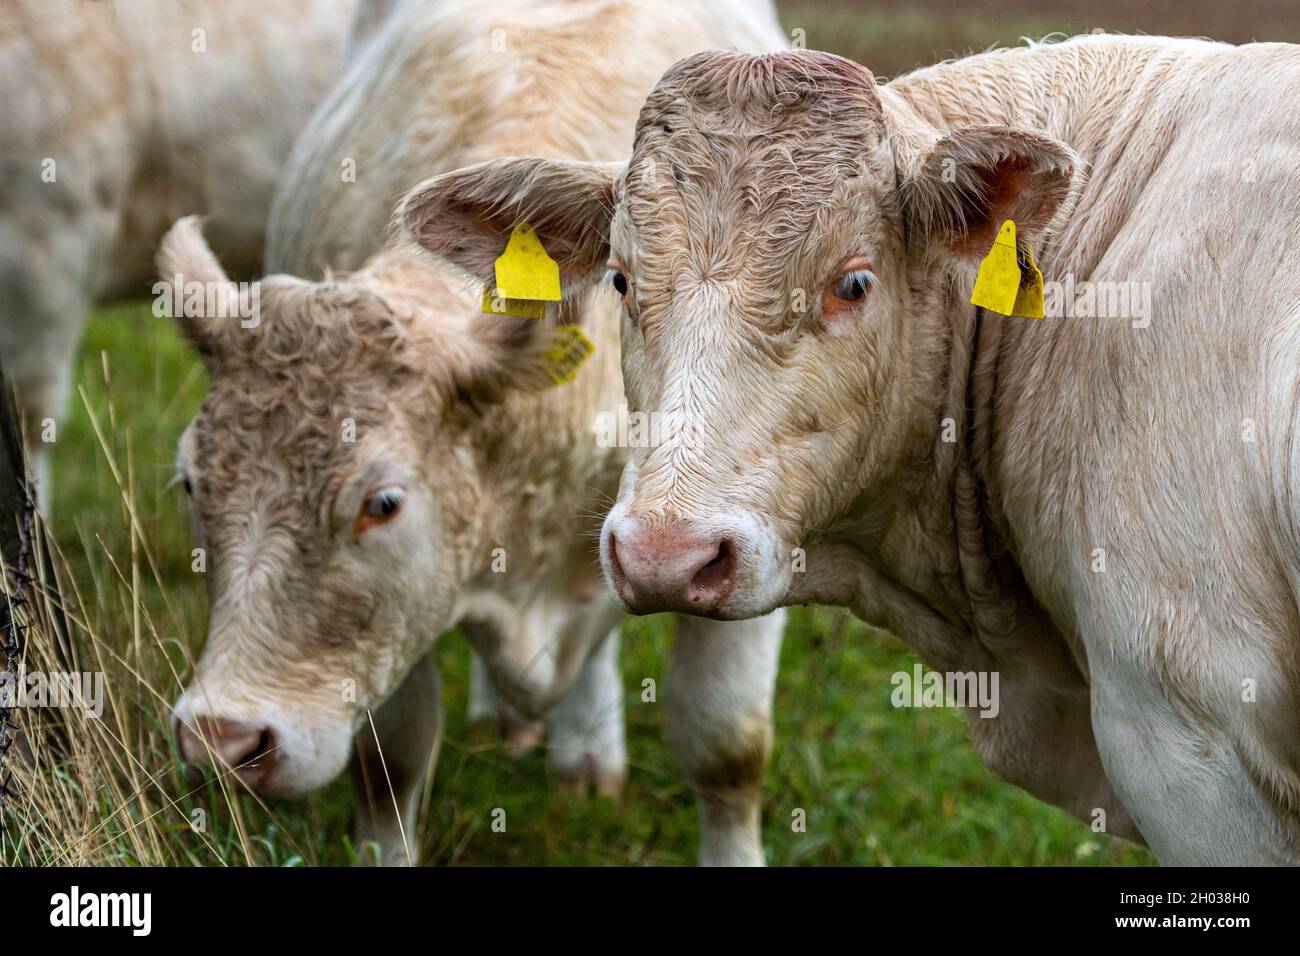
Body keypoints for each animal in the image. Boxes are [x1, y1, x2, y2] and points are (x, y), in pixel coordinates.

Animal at [168, 0, 789, 866]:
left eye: (383, 503)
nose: (223, 742)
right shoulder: (410, 615)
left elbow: (725, 745)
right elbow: (391, 765)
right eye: (192, 484)